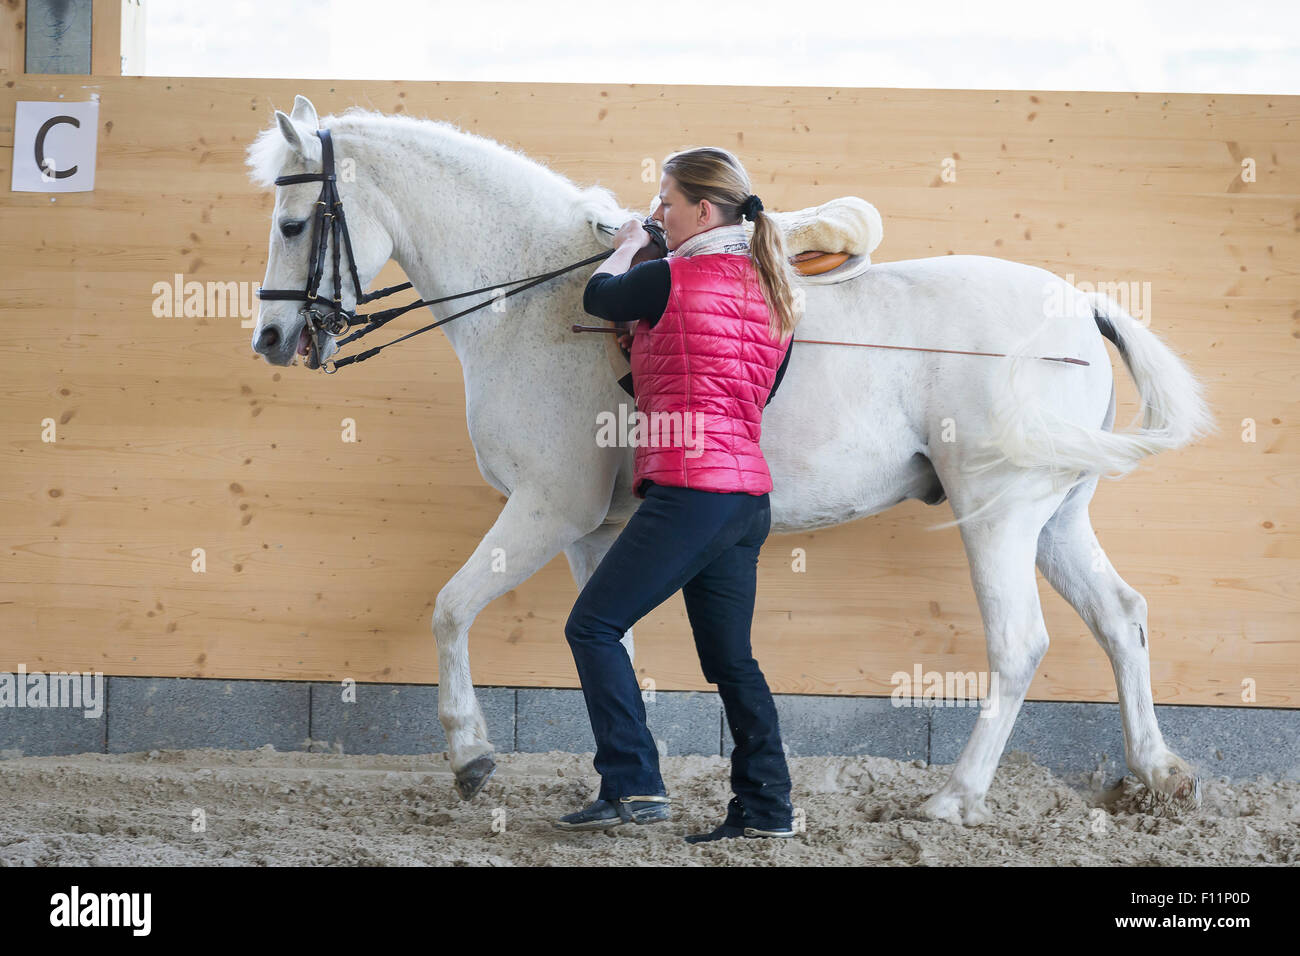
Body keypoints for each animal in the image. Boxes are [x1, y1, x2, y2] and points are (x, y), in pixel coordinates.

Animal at [247, 95, 1216, 825]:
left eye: (295, 222)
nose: (271, 338)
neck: (546, 300)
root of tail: (1083, 305)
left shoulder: (547, 507)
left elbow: (451, 609)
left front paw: (472, 756)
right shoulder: (595, 532)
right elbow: (611, 648)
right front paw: (625, 781)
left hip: (1000, 514)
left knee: (1019, 645)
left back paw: (954, 798)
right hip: (1055, 517)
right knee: (1120, 618)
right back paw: (1157, 774)